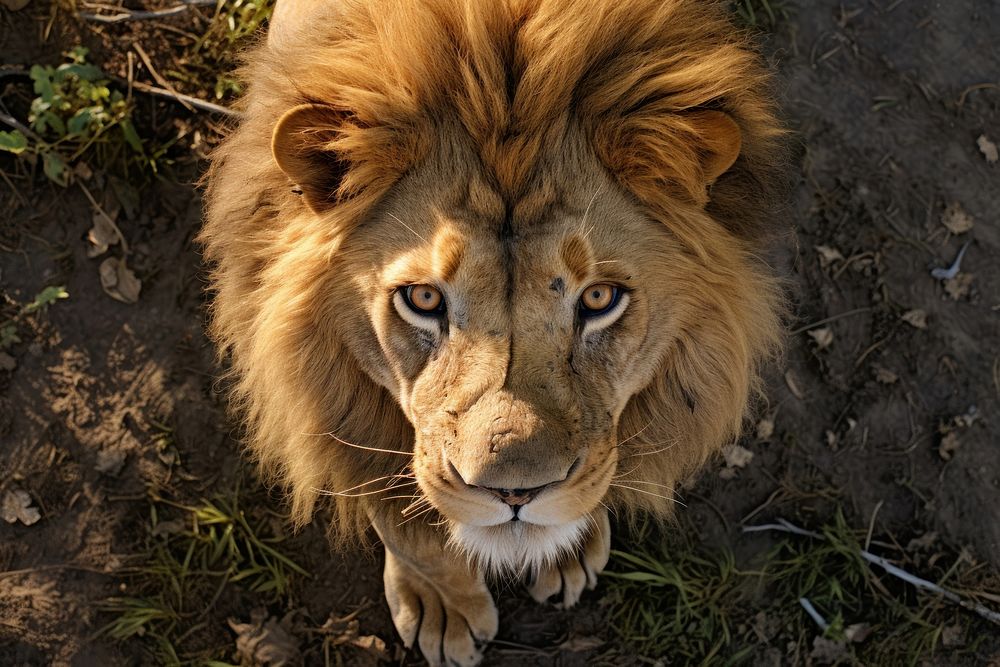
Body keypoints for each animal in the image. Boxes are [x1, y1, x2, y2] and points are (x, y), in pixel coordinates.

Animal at [200, 0, 786, 664]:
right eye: (424, 298)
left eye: (599, 298)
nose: (515, 496)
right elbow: (401, 522)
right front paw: (443, 607)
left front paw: (567, 547)